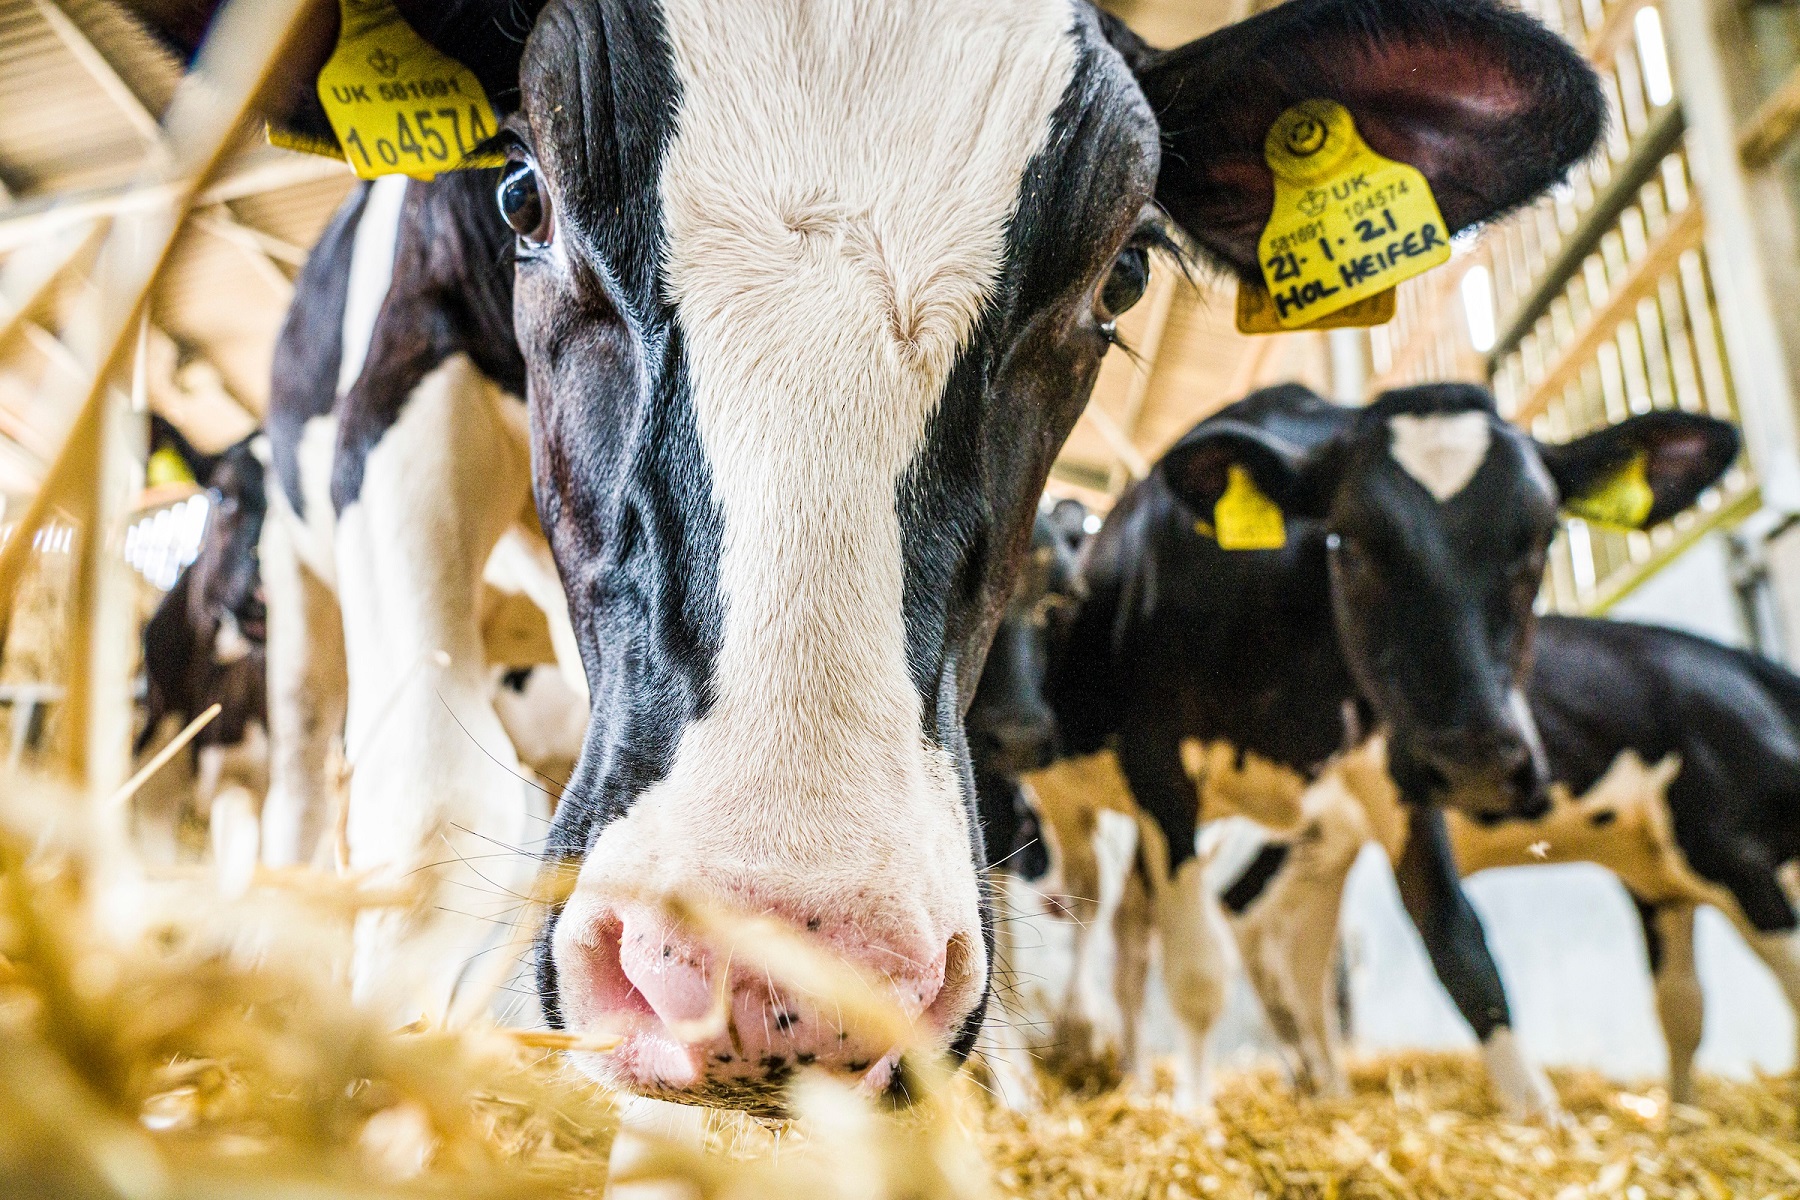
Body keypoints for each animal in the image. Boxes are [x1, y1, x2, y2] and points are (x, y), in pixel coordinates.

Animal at [132, 0, 1605, 1111]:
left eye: (1121, 275)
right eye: (523, 194)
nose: (781, 979)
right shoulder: (398, 394)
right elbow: (433, 803)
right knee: (314, 782)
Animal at [1024, 380, 1737, 1114]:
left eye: (1544, 536)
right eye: (1352, 541)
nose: (1478, 760)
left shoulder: (1397, 769)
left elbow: (1459, 944)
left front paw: (1538, 1112)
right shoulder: (1157, 762)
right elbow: (1197, 969)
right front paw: (1194, 1116)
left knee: (1129, 925)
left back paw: (1134, 1073)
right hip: (1055, 787)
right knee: (1079, 892)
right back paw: (1077, 1035)